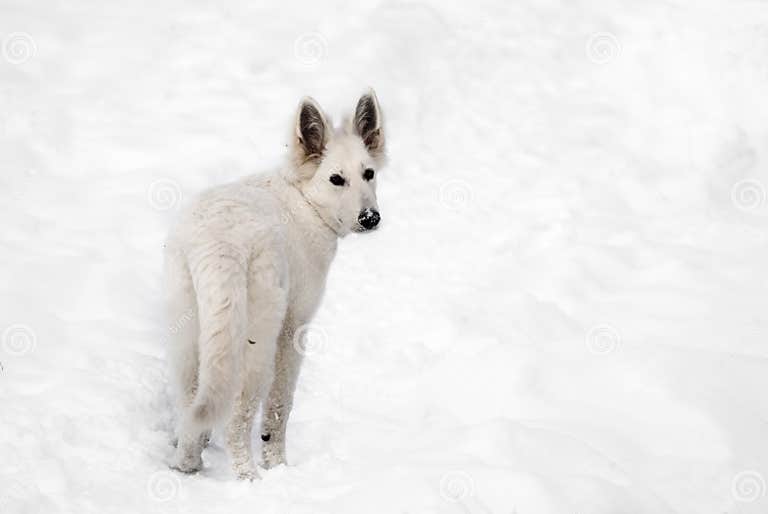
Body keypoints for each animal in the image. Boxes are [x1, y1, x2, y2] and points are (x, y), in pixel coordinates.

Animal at [163, 90, 385, 479]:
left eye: (369, 174)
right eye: (336, 179)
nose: (370, 218)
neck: (304, 200)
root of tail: (219, 242)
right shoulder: (294, 327)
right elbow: (280, 405)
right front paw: (277, 463)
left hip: (188, 330)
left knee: (193, 404)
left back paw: (187, 463)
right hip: (259, 338)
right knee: (237, 420)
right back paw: (249, 477)